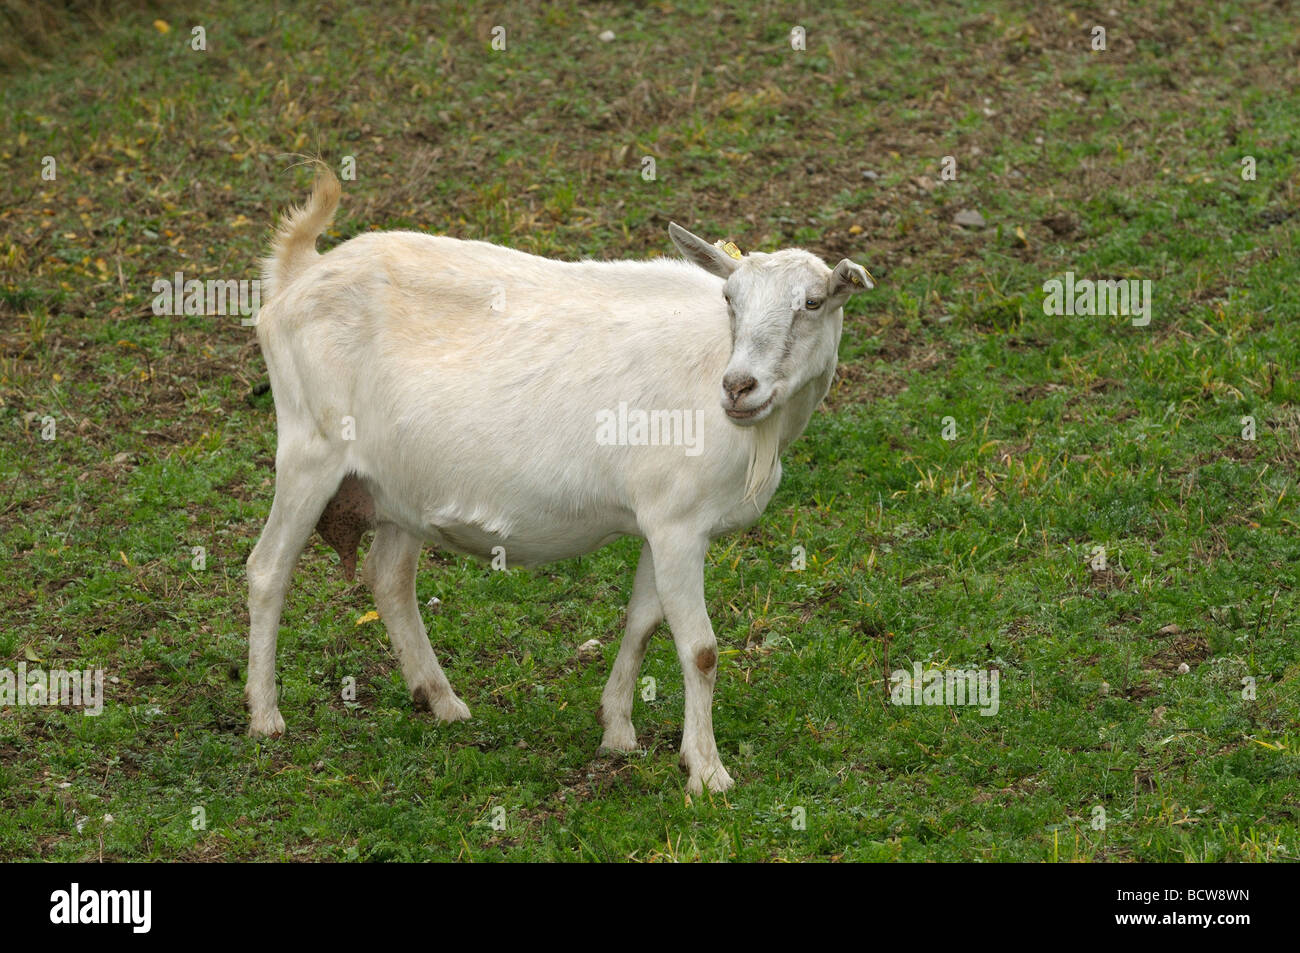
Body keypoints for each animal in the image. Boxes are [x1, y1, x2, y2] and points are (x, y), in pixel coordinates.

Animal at [246, 168, 872, 793]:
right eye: (728, 300)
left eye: (813, 302)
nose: (739, 387)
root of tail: (297, 273)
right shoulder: (678, 525)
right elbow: (700, 650)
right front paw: (708, 773)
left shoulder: (658, 523)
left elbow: (642, 622)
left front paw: (617, 732)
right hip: (310, 450)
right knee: (268, 569)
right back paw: (265, 715)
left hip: (400, 486)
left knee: (389, 577)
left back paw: (441, 700)